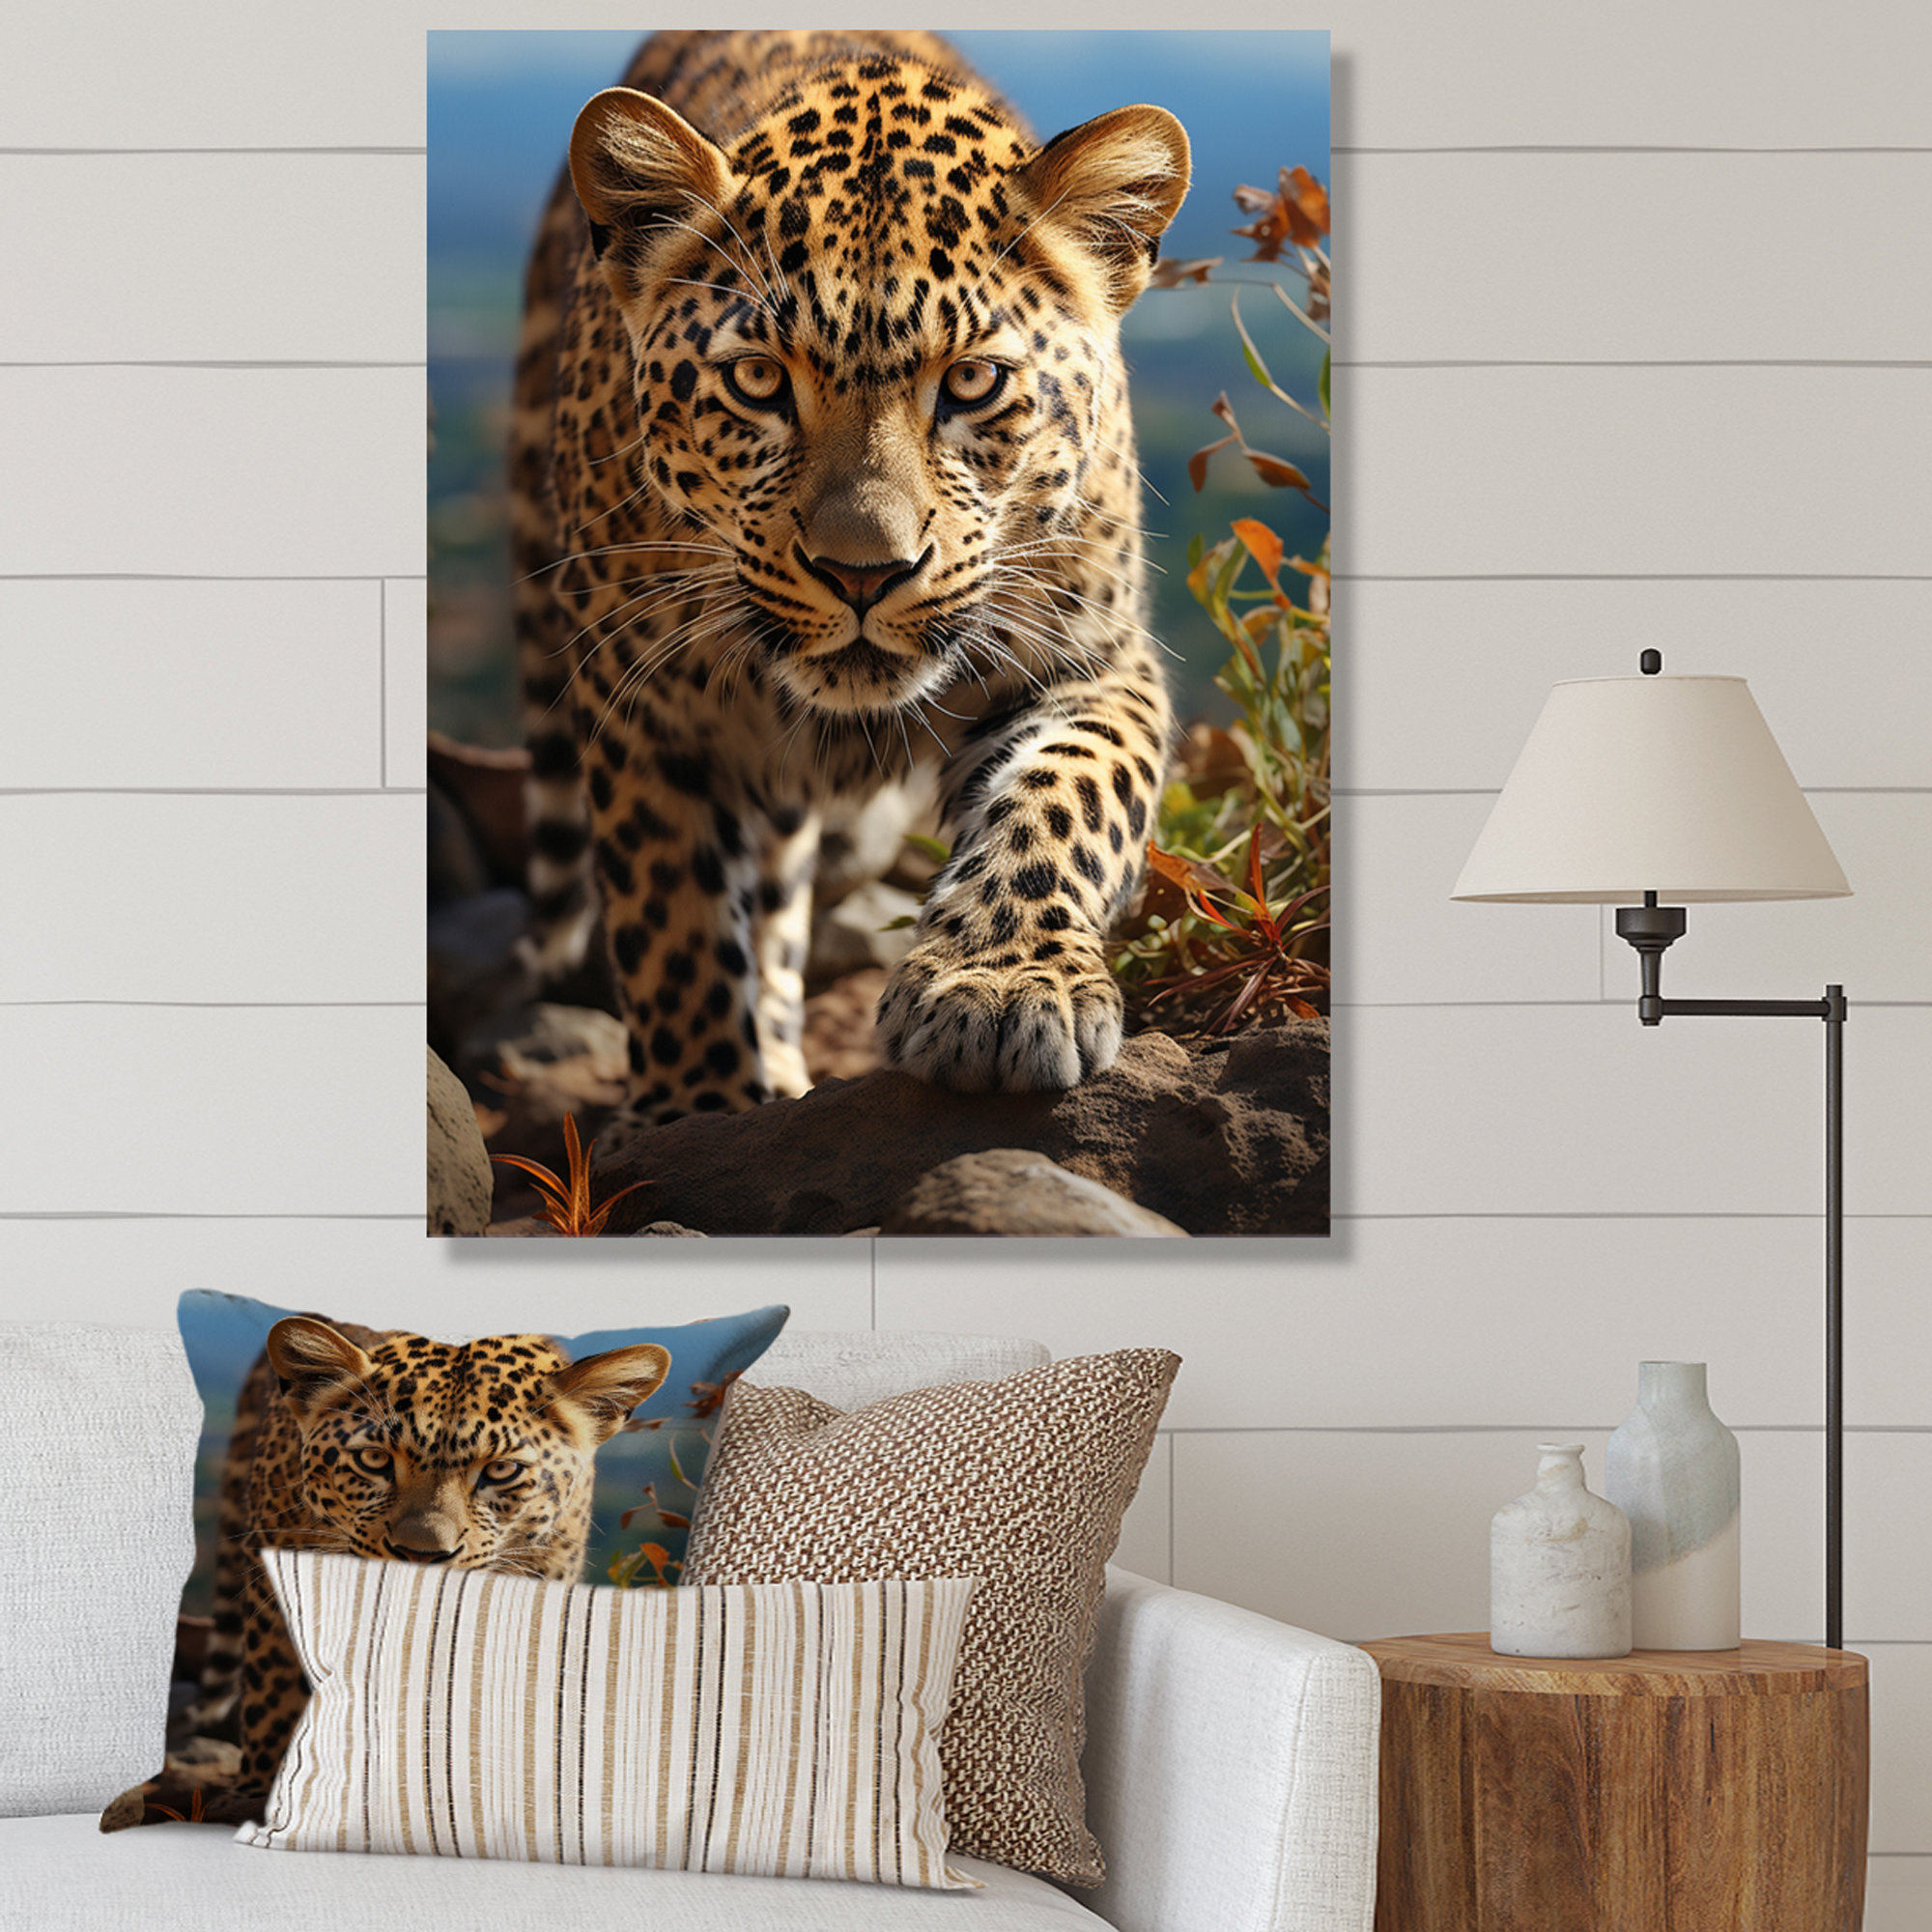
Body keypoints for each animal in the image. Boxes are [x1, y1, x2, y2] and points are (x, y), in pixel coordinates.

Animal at [510, 30, 1190, 1129]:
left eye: (972, 383)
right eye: (756, 382)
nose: (861, 573)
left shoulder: (1090, 658)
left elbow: (1064, 793)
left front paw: (1000, 986)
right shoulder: (641, 702)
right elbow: (672, 914)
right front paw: (697, 1108)